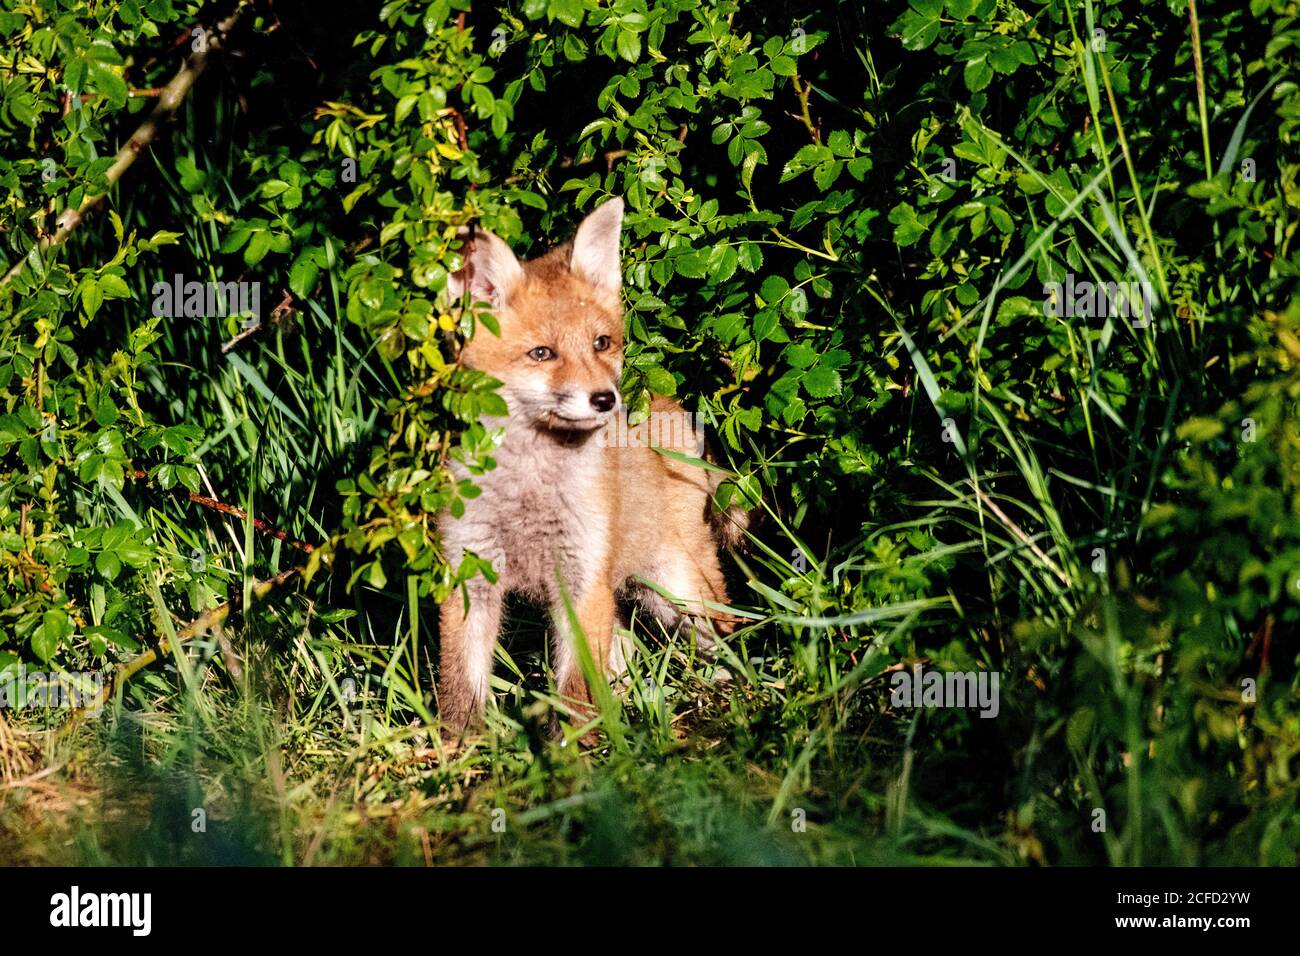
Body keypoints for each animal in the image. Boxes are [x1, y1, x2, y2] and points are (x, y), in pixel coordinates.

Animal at [437, 197, 747, 740]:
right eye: (542, 353)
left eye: (602, 343)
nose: (605, 399)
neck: (529, 491)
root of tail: (671, 408)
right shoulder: (470, 573)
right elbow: (461, 689)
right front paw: (460, 752)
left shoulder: (582, 579)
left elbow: (575, 693)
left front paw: (574, 753)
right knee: (624, 655)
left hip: (681, 591)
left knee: (722, 641)